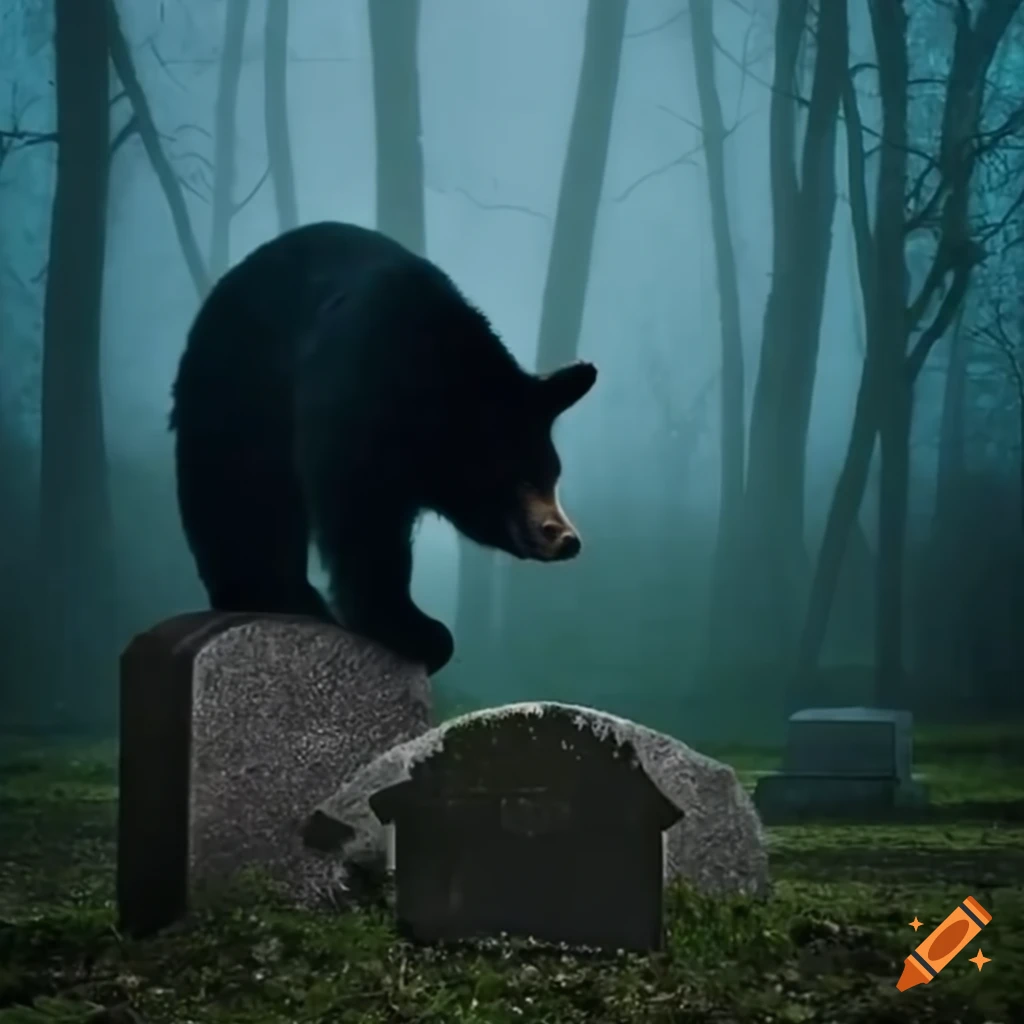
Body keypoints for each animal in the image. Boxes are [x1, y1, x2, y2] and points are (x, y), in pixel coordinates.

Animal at [170, 221, 596, 675]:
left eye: (553, 474)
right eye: (520, 475)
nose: (566, 537)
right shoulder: (356, 383)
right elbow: (361, 509)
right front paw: (415, 630)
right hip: (237, 386)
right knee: (238, 488)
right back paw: (273, 594)